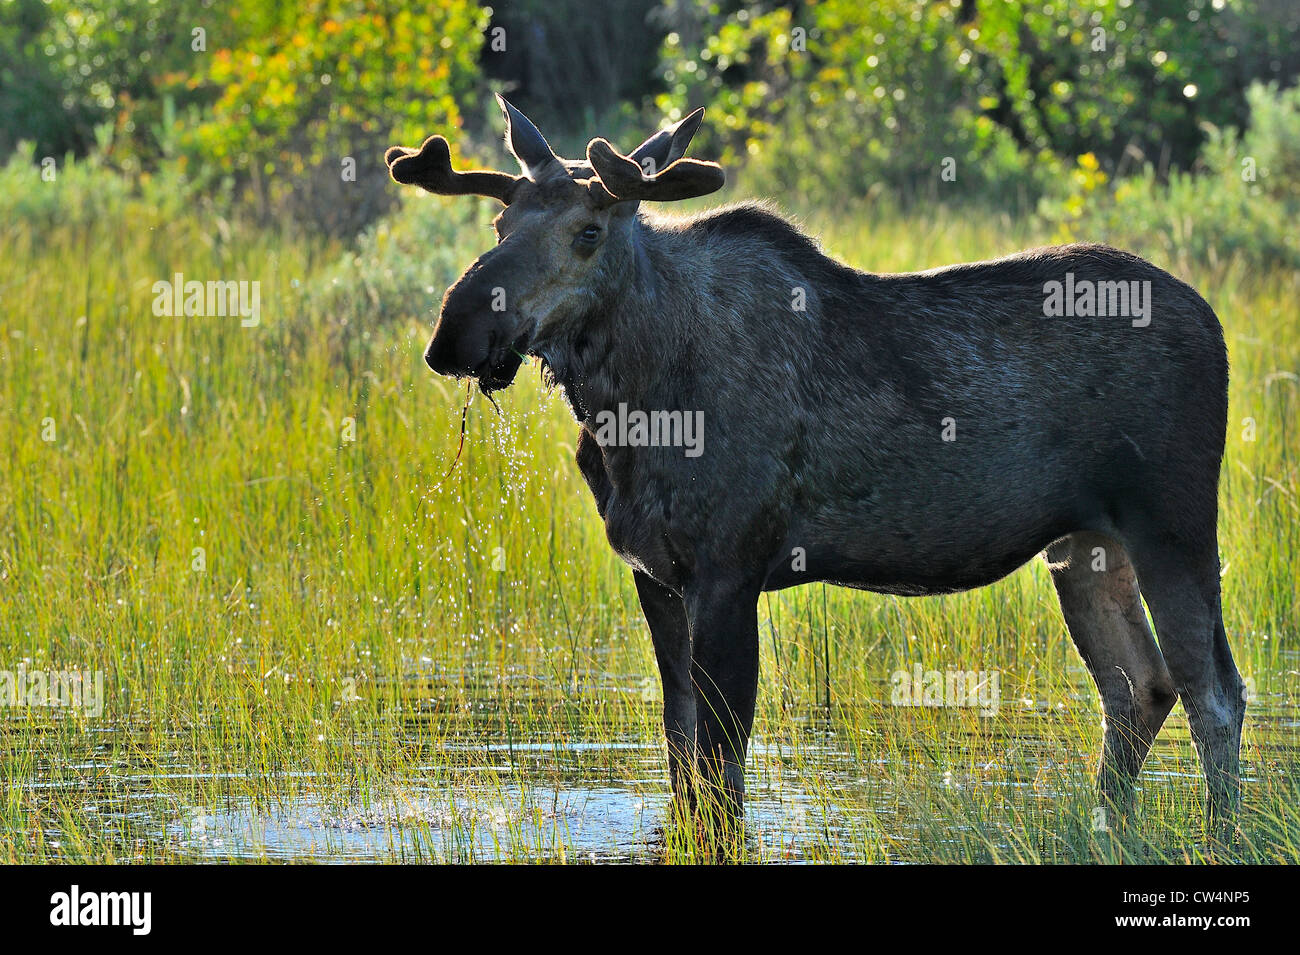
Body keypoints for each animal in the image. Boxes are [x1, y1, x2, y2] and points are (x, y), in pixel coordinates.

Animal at [385, 97, 1245, 841]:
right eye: (500, 221)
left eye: (589, 231)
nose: (456, 333)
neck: (627, 402)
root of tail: (1215, 319)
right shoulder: (654, 572)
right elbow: (681, 755)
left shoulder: (729, 569)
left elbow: (722, 768)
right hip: (1086, 546)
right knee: (1139, 687)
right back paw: (1110, 826)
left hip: (1174, 524)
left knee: (1215, 693)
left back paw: (1219, 837)